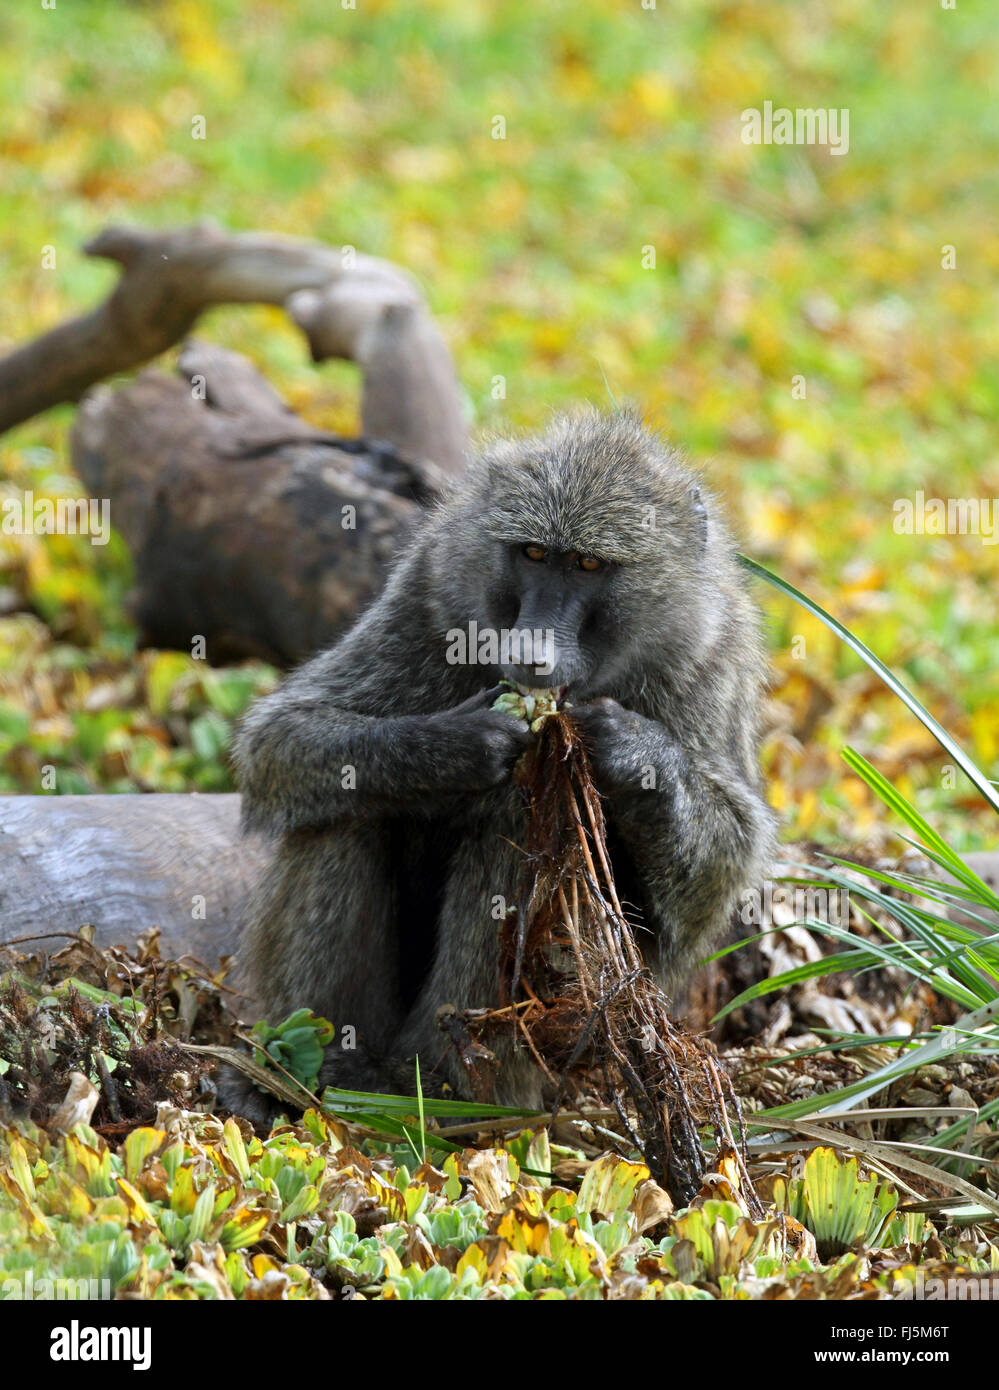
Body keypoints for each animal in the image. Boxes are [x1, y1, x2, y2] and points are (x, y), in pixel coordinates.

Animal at [219, 410, 776, 1126]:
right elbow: (281, 737)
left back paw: (447, 1087)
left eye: (589, 564)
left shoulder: (714, 659)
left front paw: (630, 748)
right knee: (349, 811)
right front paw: (459, 744)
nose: (532, 652)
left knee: (518, 825)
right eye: (534, 554)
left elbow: (721, 870)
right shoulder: (427, 592)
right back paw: (314, 1063)